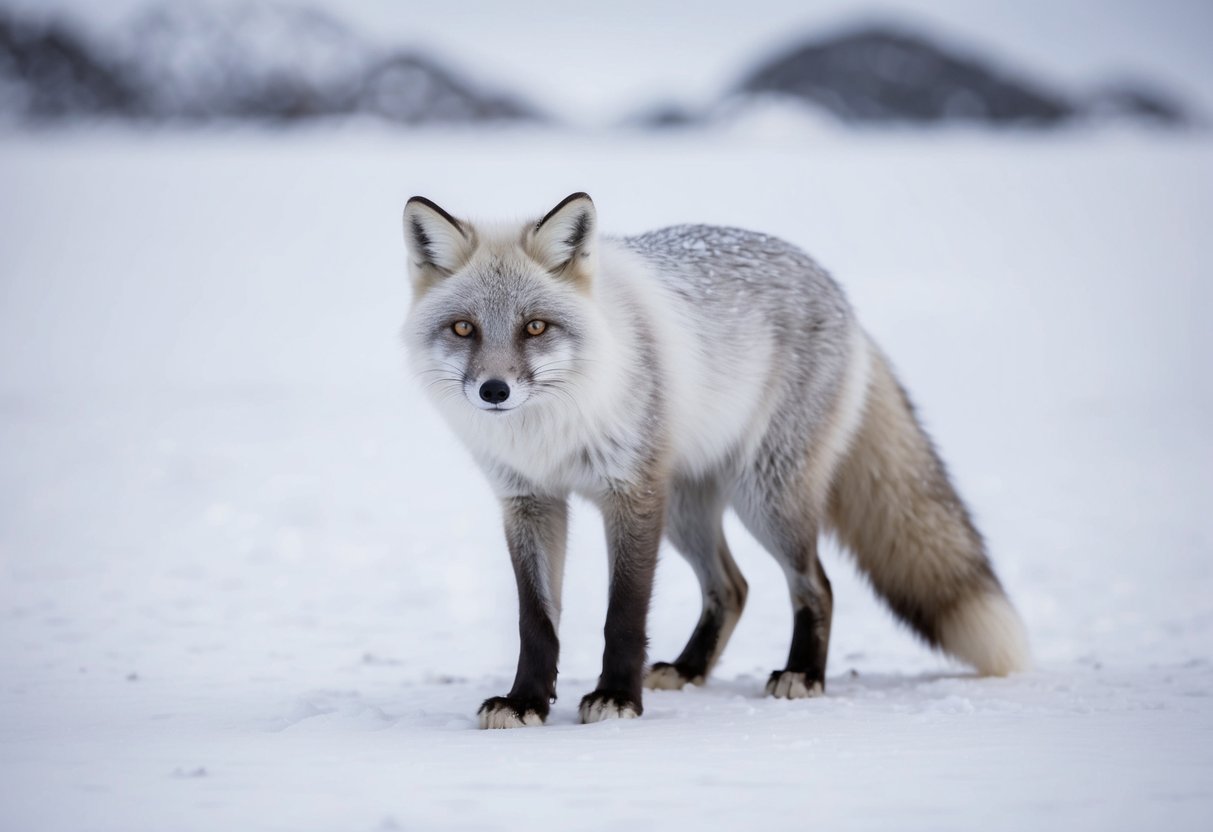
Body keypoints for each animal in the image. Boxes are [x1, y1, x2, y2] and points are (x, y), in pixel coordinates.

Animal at [401, 192, 1029, 729]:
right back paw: (689, 669)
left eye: (534, 327)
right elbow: (537, 622)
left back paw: (803, 674)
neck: (549, 431)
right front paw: (525, 701)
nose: (494, 391)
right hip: (687, 510)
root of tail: (836, 289)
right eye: (464, 328)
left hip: (765, 499)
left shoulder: (632, 495)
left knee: (815, 584)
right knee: (732, 586)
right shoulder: (530, 501)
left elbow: (624, 613)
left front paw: (617, 699)